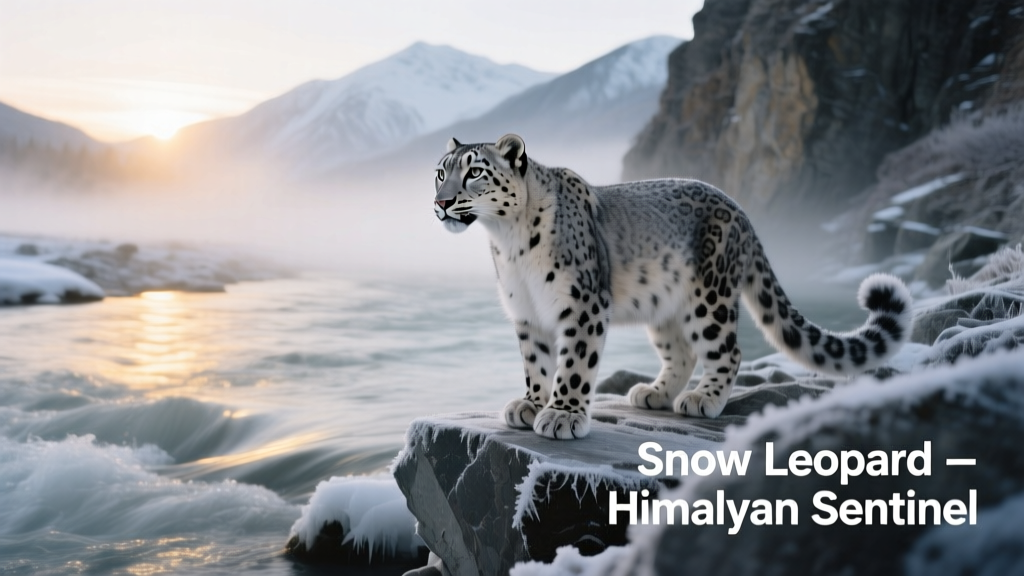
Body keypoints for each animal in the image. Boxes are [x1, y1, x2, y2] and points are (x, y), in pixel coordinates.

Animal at [433, 134, 913, 440]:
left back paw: (703, 399)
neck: (508, 242)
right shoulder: (527, 313)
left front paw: (562, 416)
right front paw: (531, 403)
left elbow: (574, 364)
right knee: (681, 352)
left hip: (710, 297)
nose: (441, 202)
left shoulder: (583, 304)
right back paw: (655, 393)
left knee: (727, 350)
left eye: (475, 172)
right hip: (664, 308)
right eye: (441, 173)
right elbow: (536, 362)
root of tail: (741, 211)